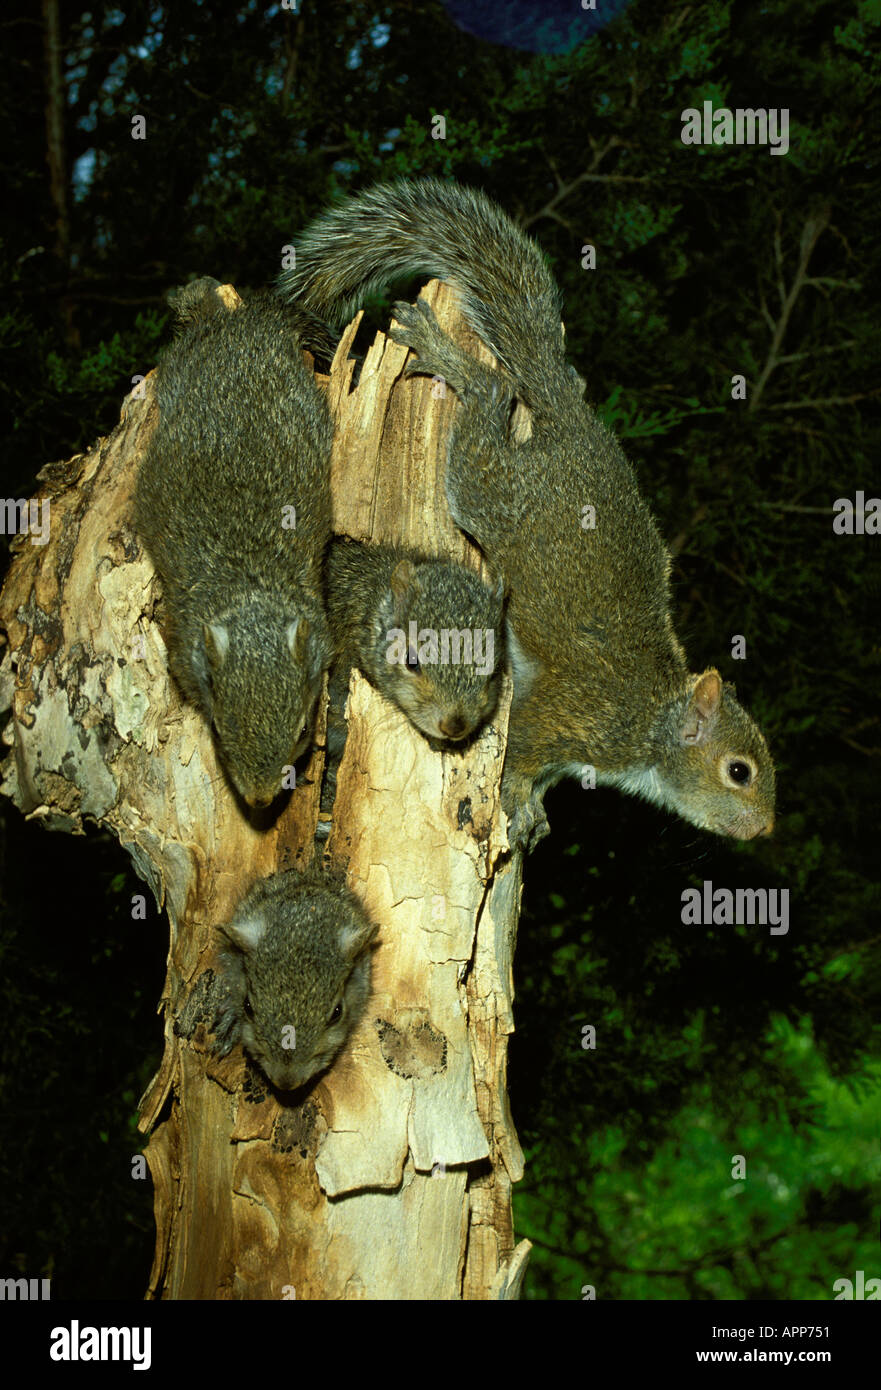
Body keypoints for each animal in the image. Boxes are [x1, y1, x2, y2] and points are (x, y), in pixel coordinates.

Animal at [135, 277, 333, 808]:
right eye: (219, 734)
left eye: (303, 731)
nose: (260, 800)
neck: (247, 582)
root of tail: (245, 322)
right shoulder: (182, 650)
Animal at [280, 179, 776, 850]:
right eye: (738, 771)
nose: (765, 828)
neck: (652, 723)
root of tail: (569, 415)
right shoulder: (568, 718)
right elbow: (519, 758)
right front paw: (517, 800)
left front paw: (535, 811)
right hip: (493, 488)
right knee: (492, 401)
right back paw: (455, 362)